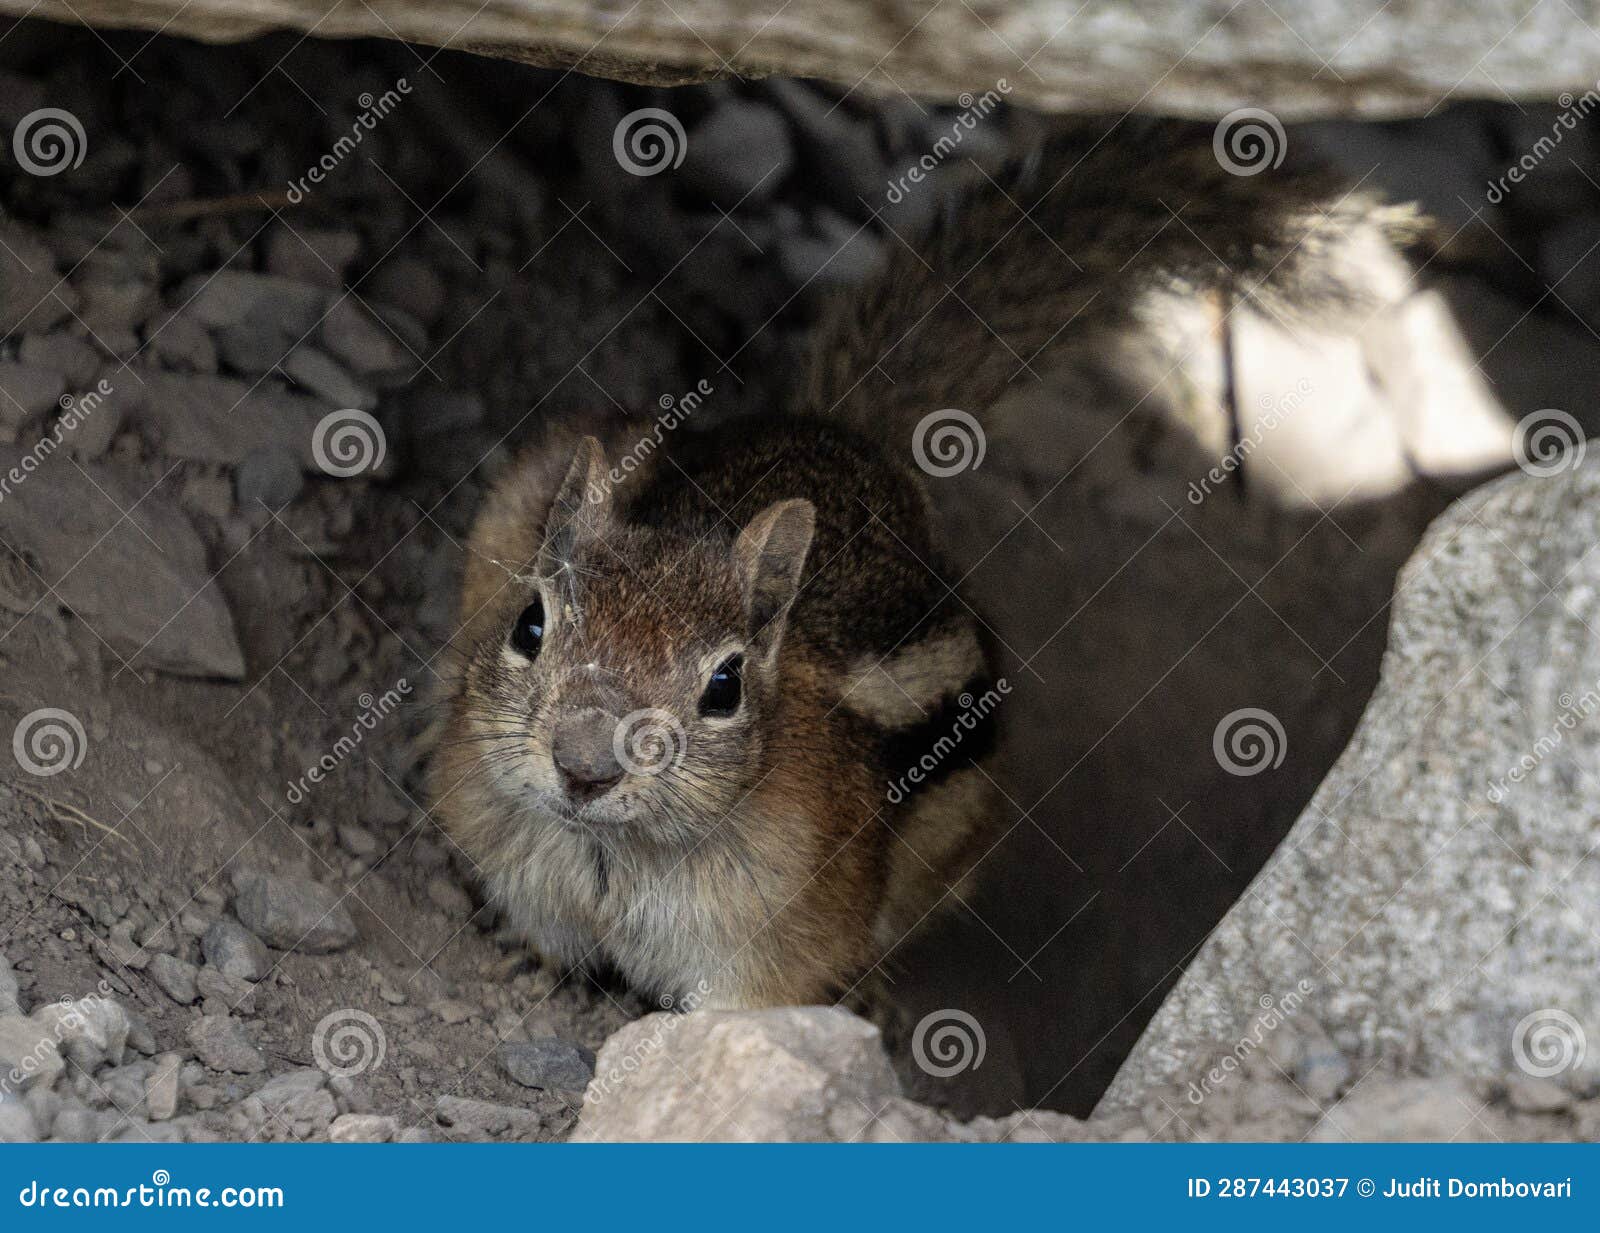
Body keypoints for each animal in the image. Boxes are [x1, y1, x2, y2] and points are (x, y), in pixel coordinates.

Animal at [430, 119, 1391, 1010]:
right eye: (530, 625)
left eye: (724, 687)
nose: (584, 765)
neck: (612, 856)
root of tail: (850, 435)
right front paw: (526, 961)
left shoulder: (767, 953)